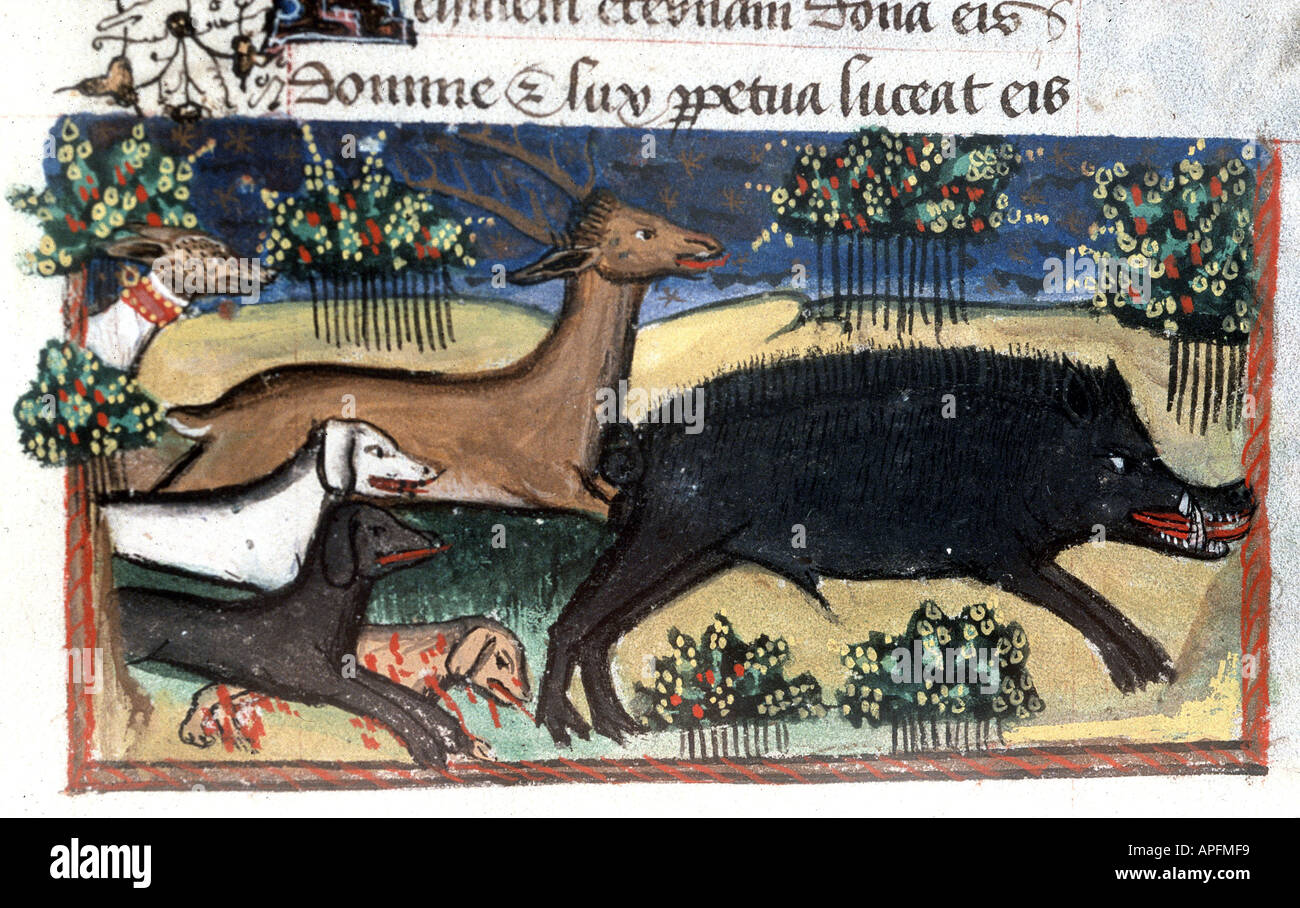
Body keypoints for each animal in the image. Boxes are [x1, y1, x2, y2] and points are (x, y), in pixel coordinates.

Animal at [536, 346, 1255, 744]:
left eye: (1152, 451)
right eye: (1121, 460)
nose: (1241, 492)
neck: (1030, 460)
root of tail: (640, 447)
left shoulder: (1016, 559)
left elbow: (1089, 602)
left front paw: (1154, 678)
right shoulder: (1005, 559)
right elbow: (1086, 601)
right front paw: (1152, 677)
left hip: (695, 554)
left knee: (600, 631)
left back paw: (624, 732)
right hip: (666, 536)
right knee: (573, 624)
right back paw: (568, 734)